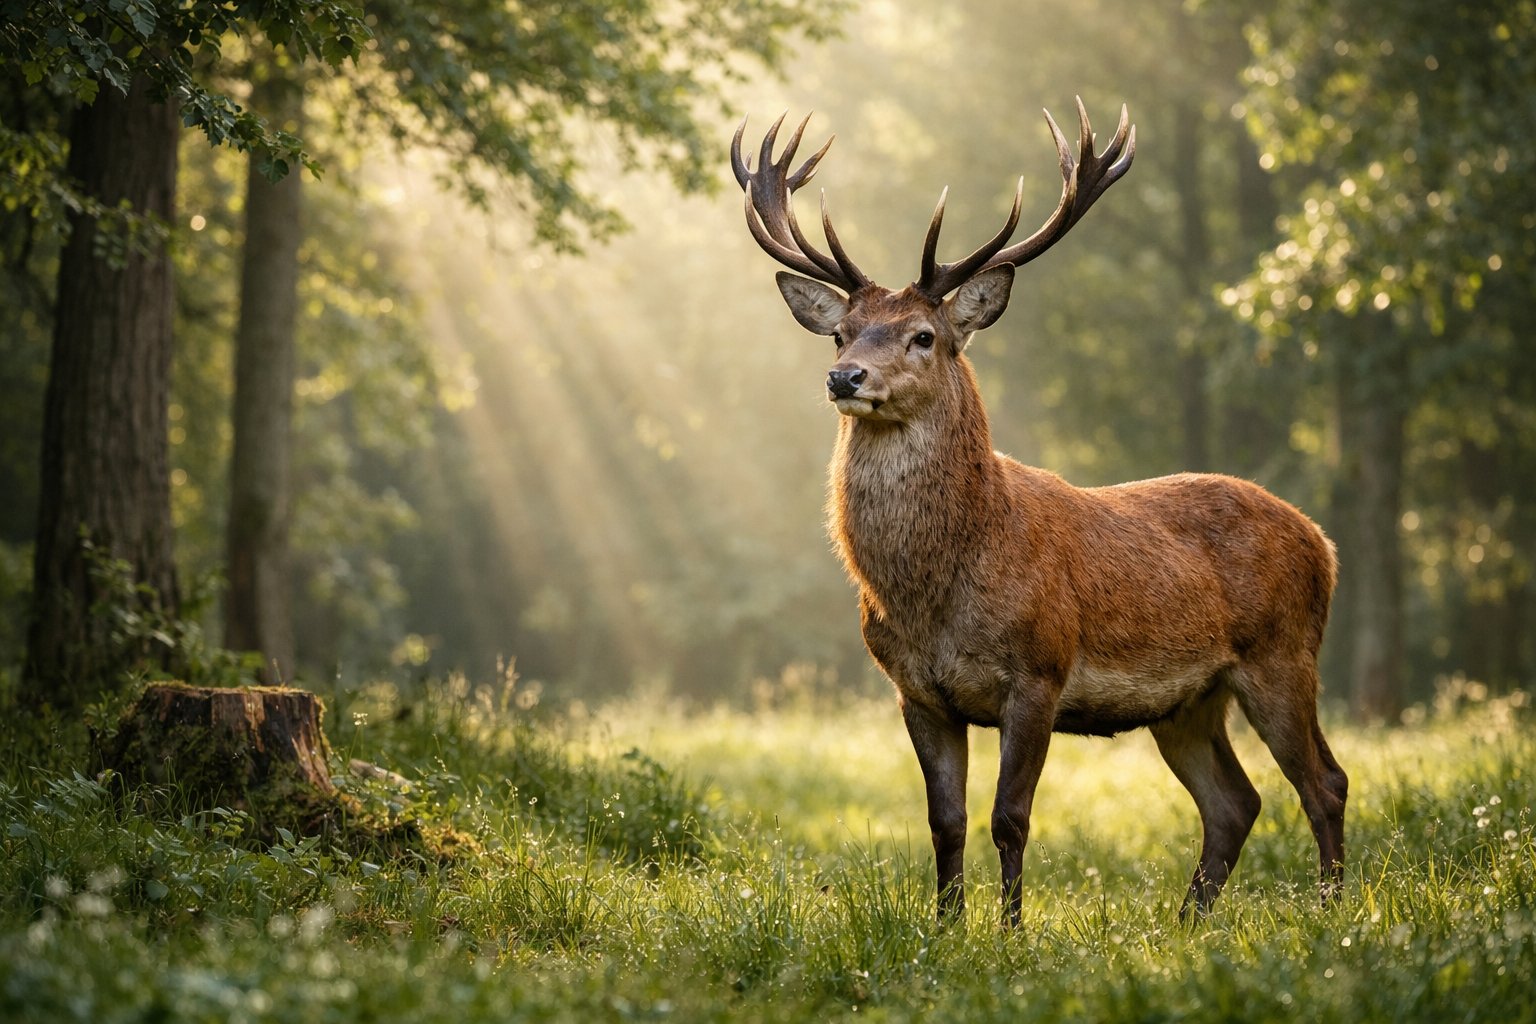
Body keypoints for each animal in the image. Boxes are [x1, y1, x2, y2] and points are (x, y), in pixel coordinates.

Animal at [730, 100, 1348, 924]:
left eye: (924, 336)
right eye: (840, 332)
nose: (845, 376)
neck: (934, 591)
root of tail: (1323, 542)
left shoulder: (1039, 671)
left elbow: (1010, 816)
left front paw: (1011, 932)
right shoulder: (915, 690)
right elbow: (946, 820)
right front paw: (945, 927)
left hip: (1283, 655)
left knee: (1324, 782)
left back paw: (1334, 910)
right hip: (1188, 701)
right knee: (1235, 801)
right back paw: (1189, 922)